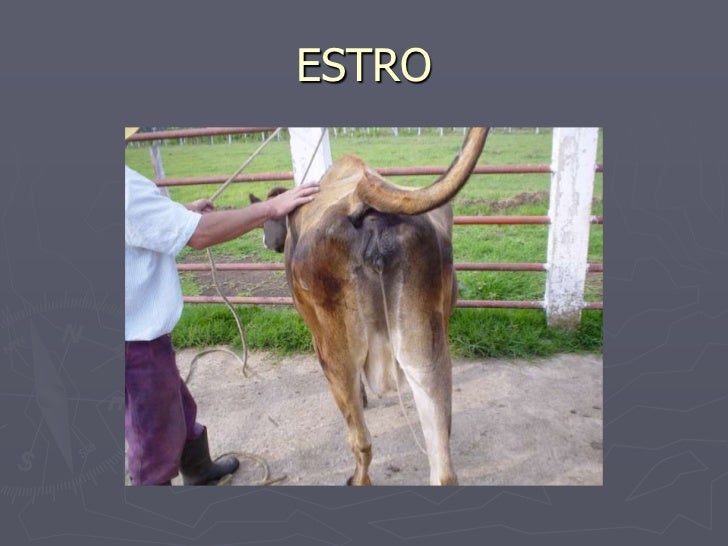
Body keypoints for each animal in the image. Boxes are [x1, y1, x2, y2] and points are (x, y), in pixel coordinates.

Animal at [250, 127, 489, 485]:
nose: (268, 241)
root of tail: (364, 207)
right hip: (427, 347)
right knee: (442, 459)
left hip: (334, 352)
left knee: (360, 440)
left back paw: (357, 478)